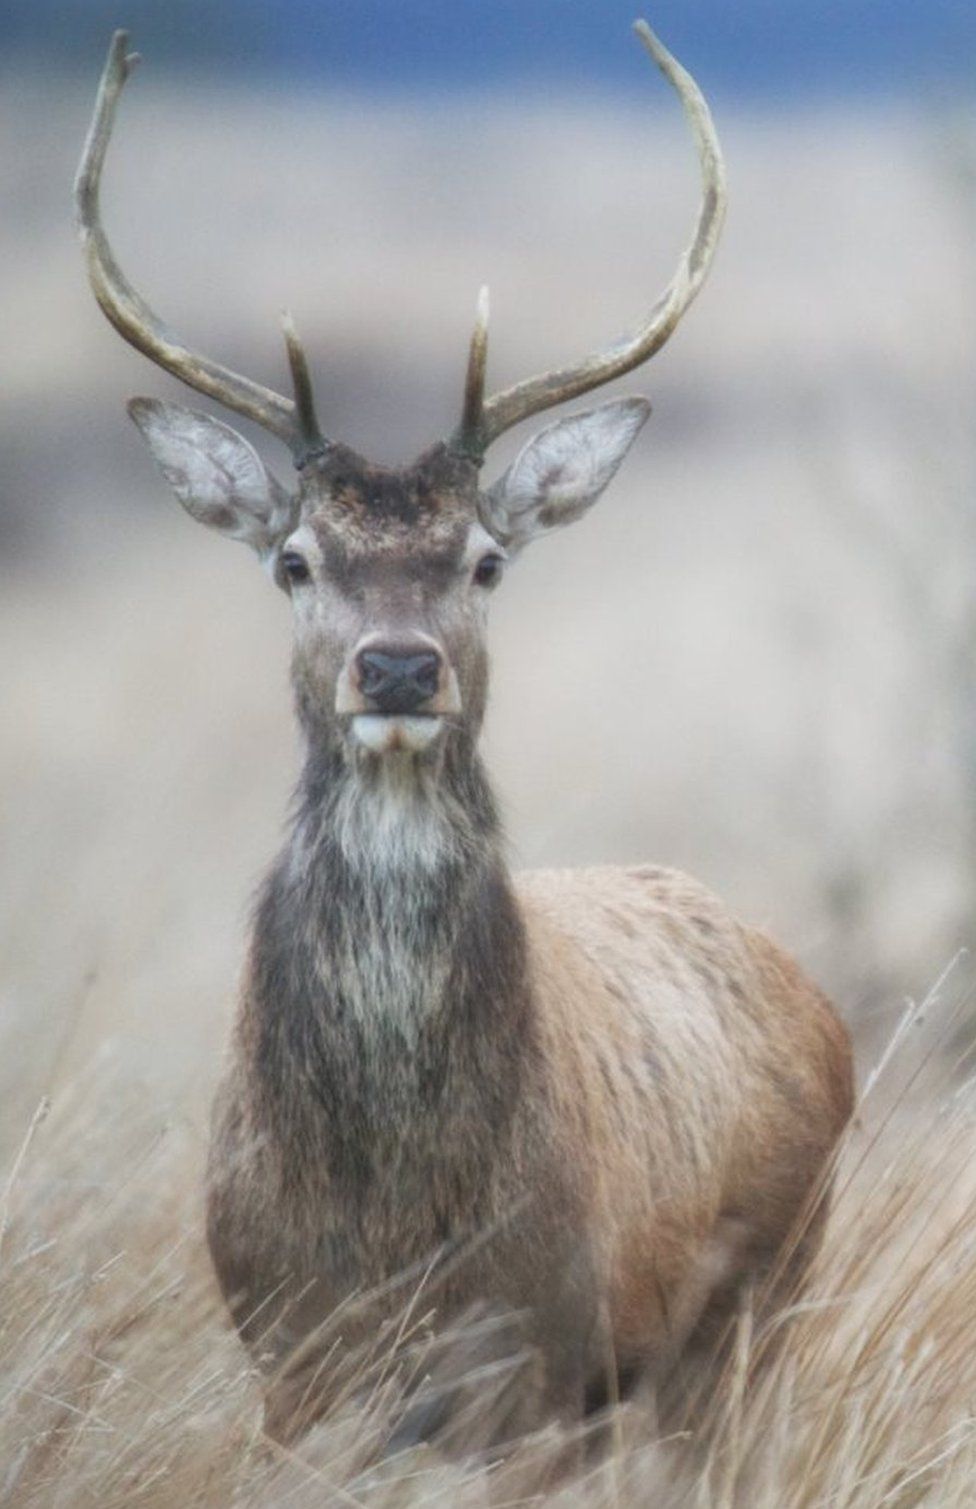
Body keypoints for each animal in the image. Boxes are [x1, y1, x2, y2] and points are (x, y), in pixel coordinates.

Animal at [76, 24, 853, 1450]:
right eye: (294, 560)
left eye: (485, 560)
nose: (396, 665)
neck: (397, 1226)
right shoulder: (289, 1358)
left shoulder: (539, 1353)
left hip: (752, 1305)